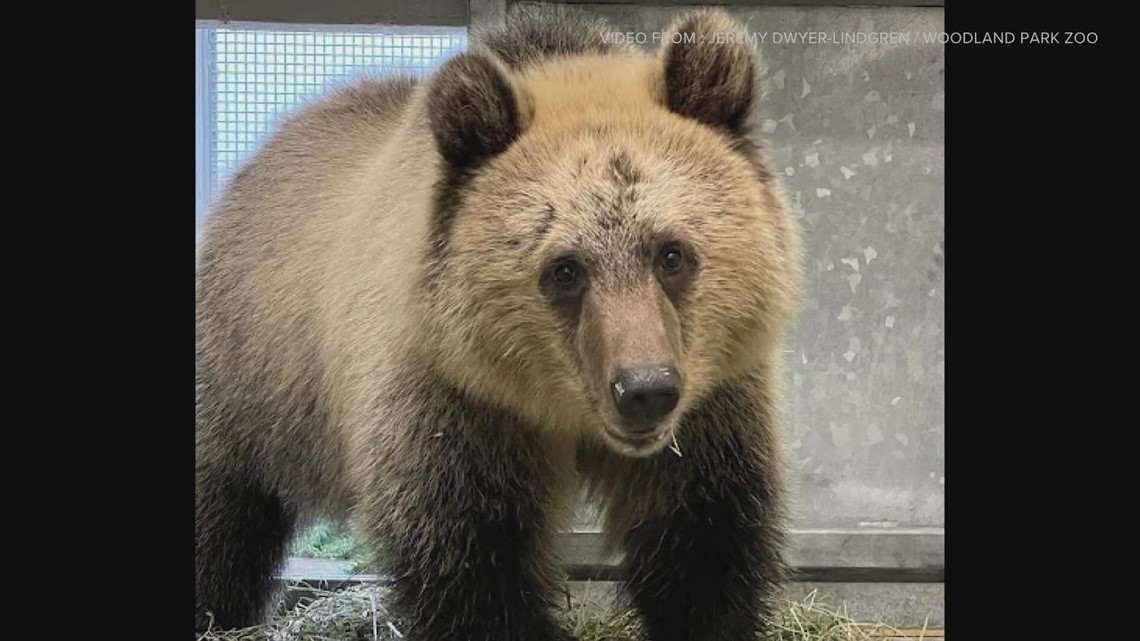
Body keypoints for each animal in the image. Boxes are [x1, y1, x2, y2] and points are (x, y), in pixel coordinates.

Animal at [195, 5, 802, 640]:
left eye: (672, 253)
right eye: (564, 269)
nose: (644, 390)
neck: (558, 411)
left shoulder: (711, 404)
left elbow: (703, 535)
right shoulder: (453, 403)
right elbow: (470, 554)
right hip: (248, 372)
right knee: (224, 505)